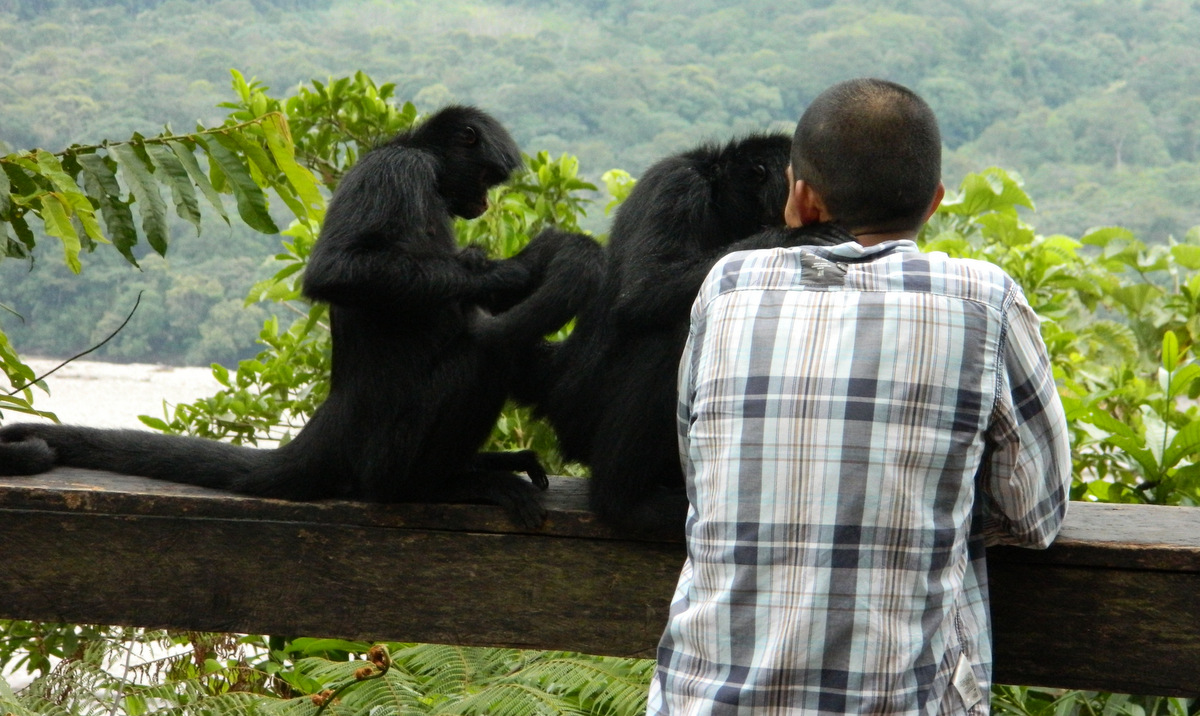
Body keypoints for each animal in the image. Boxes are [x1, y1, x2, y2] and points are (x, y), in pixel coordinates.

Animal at [0, 105, 604, 529]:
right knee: (488, 350)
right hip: (392, 450)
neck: (419, 158)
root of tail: (337, 418)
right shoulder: (398, 170)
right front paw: (511, 271)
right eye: (485, 178)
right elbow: (335, 272)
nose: (482, 203)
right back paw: (441, 485)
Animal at [515, 133, 853, 534]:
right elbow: (642, 289)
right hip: (581, 413)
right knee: (668, 332)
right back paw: (622, 501)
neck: (719, 206)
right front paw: (793, 237)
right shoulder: (677, 185)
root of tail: (561, 371)